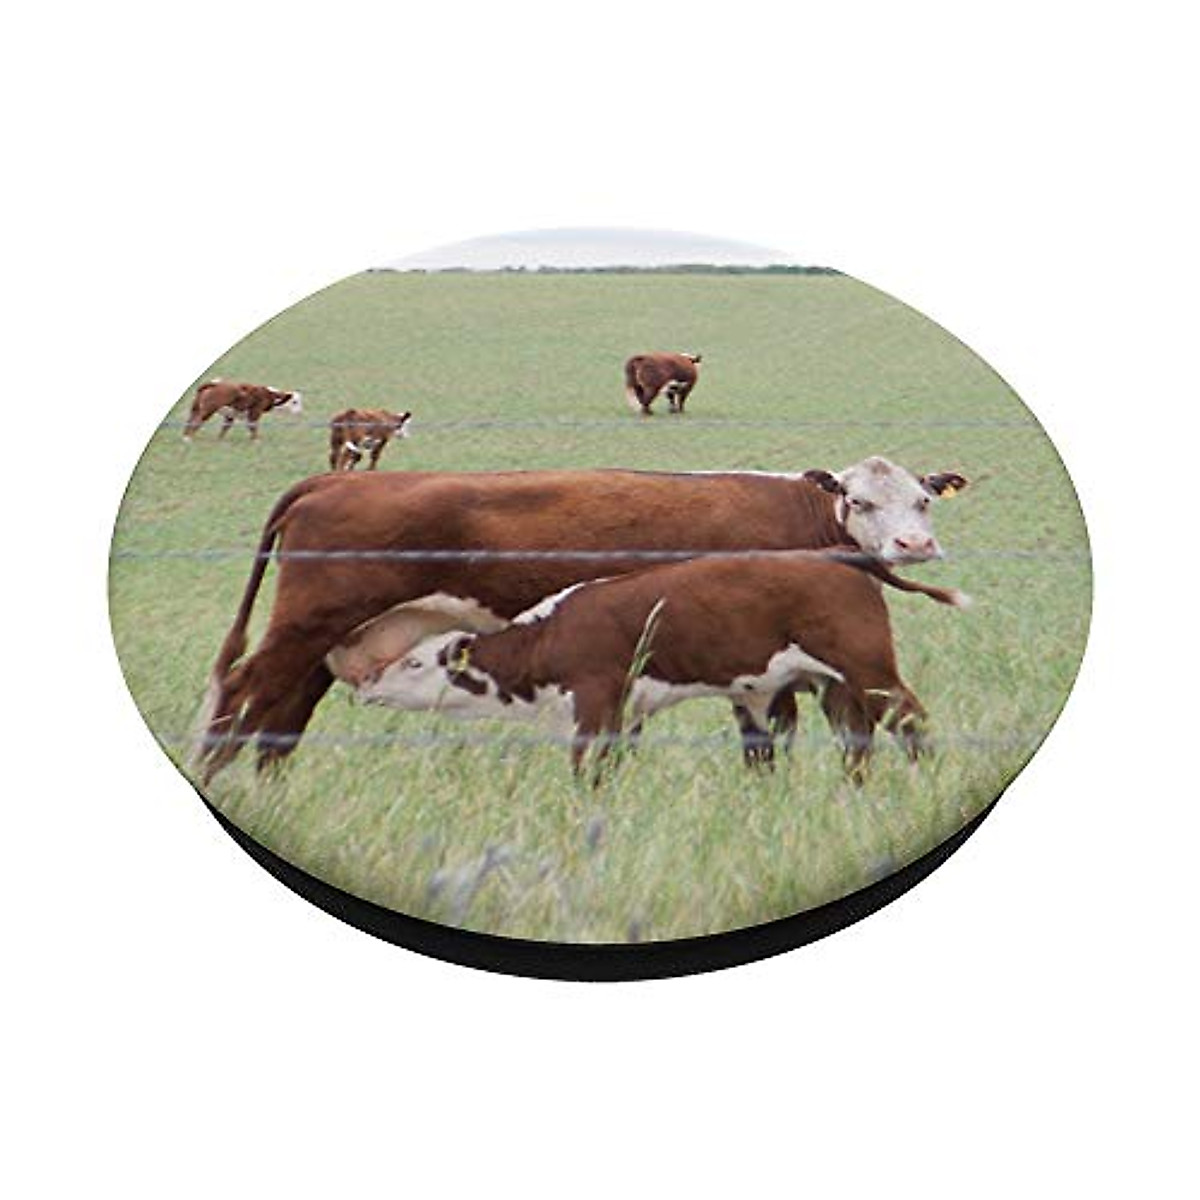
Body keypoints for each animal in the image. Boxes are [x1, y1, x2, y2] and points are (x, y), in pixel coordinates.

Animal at [350, 552, 937, 781]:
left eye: (414, 661)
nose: (365, 683)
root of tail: (841, 555)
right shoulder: (625, 712)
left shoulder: (593, 702)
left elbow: (585, 768)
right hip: (833, 685)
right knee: (857, 740)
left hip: (867, 669)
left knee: (911, 719)